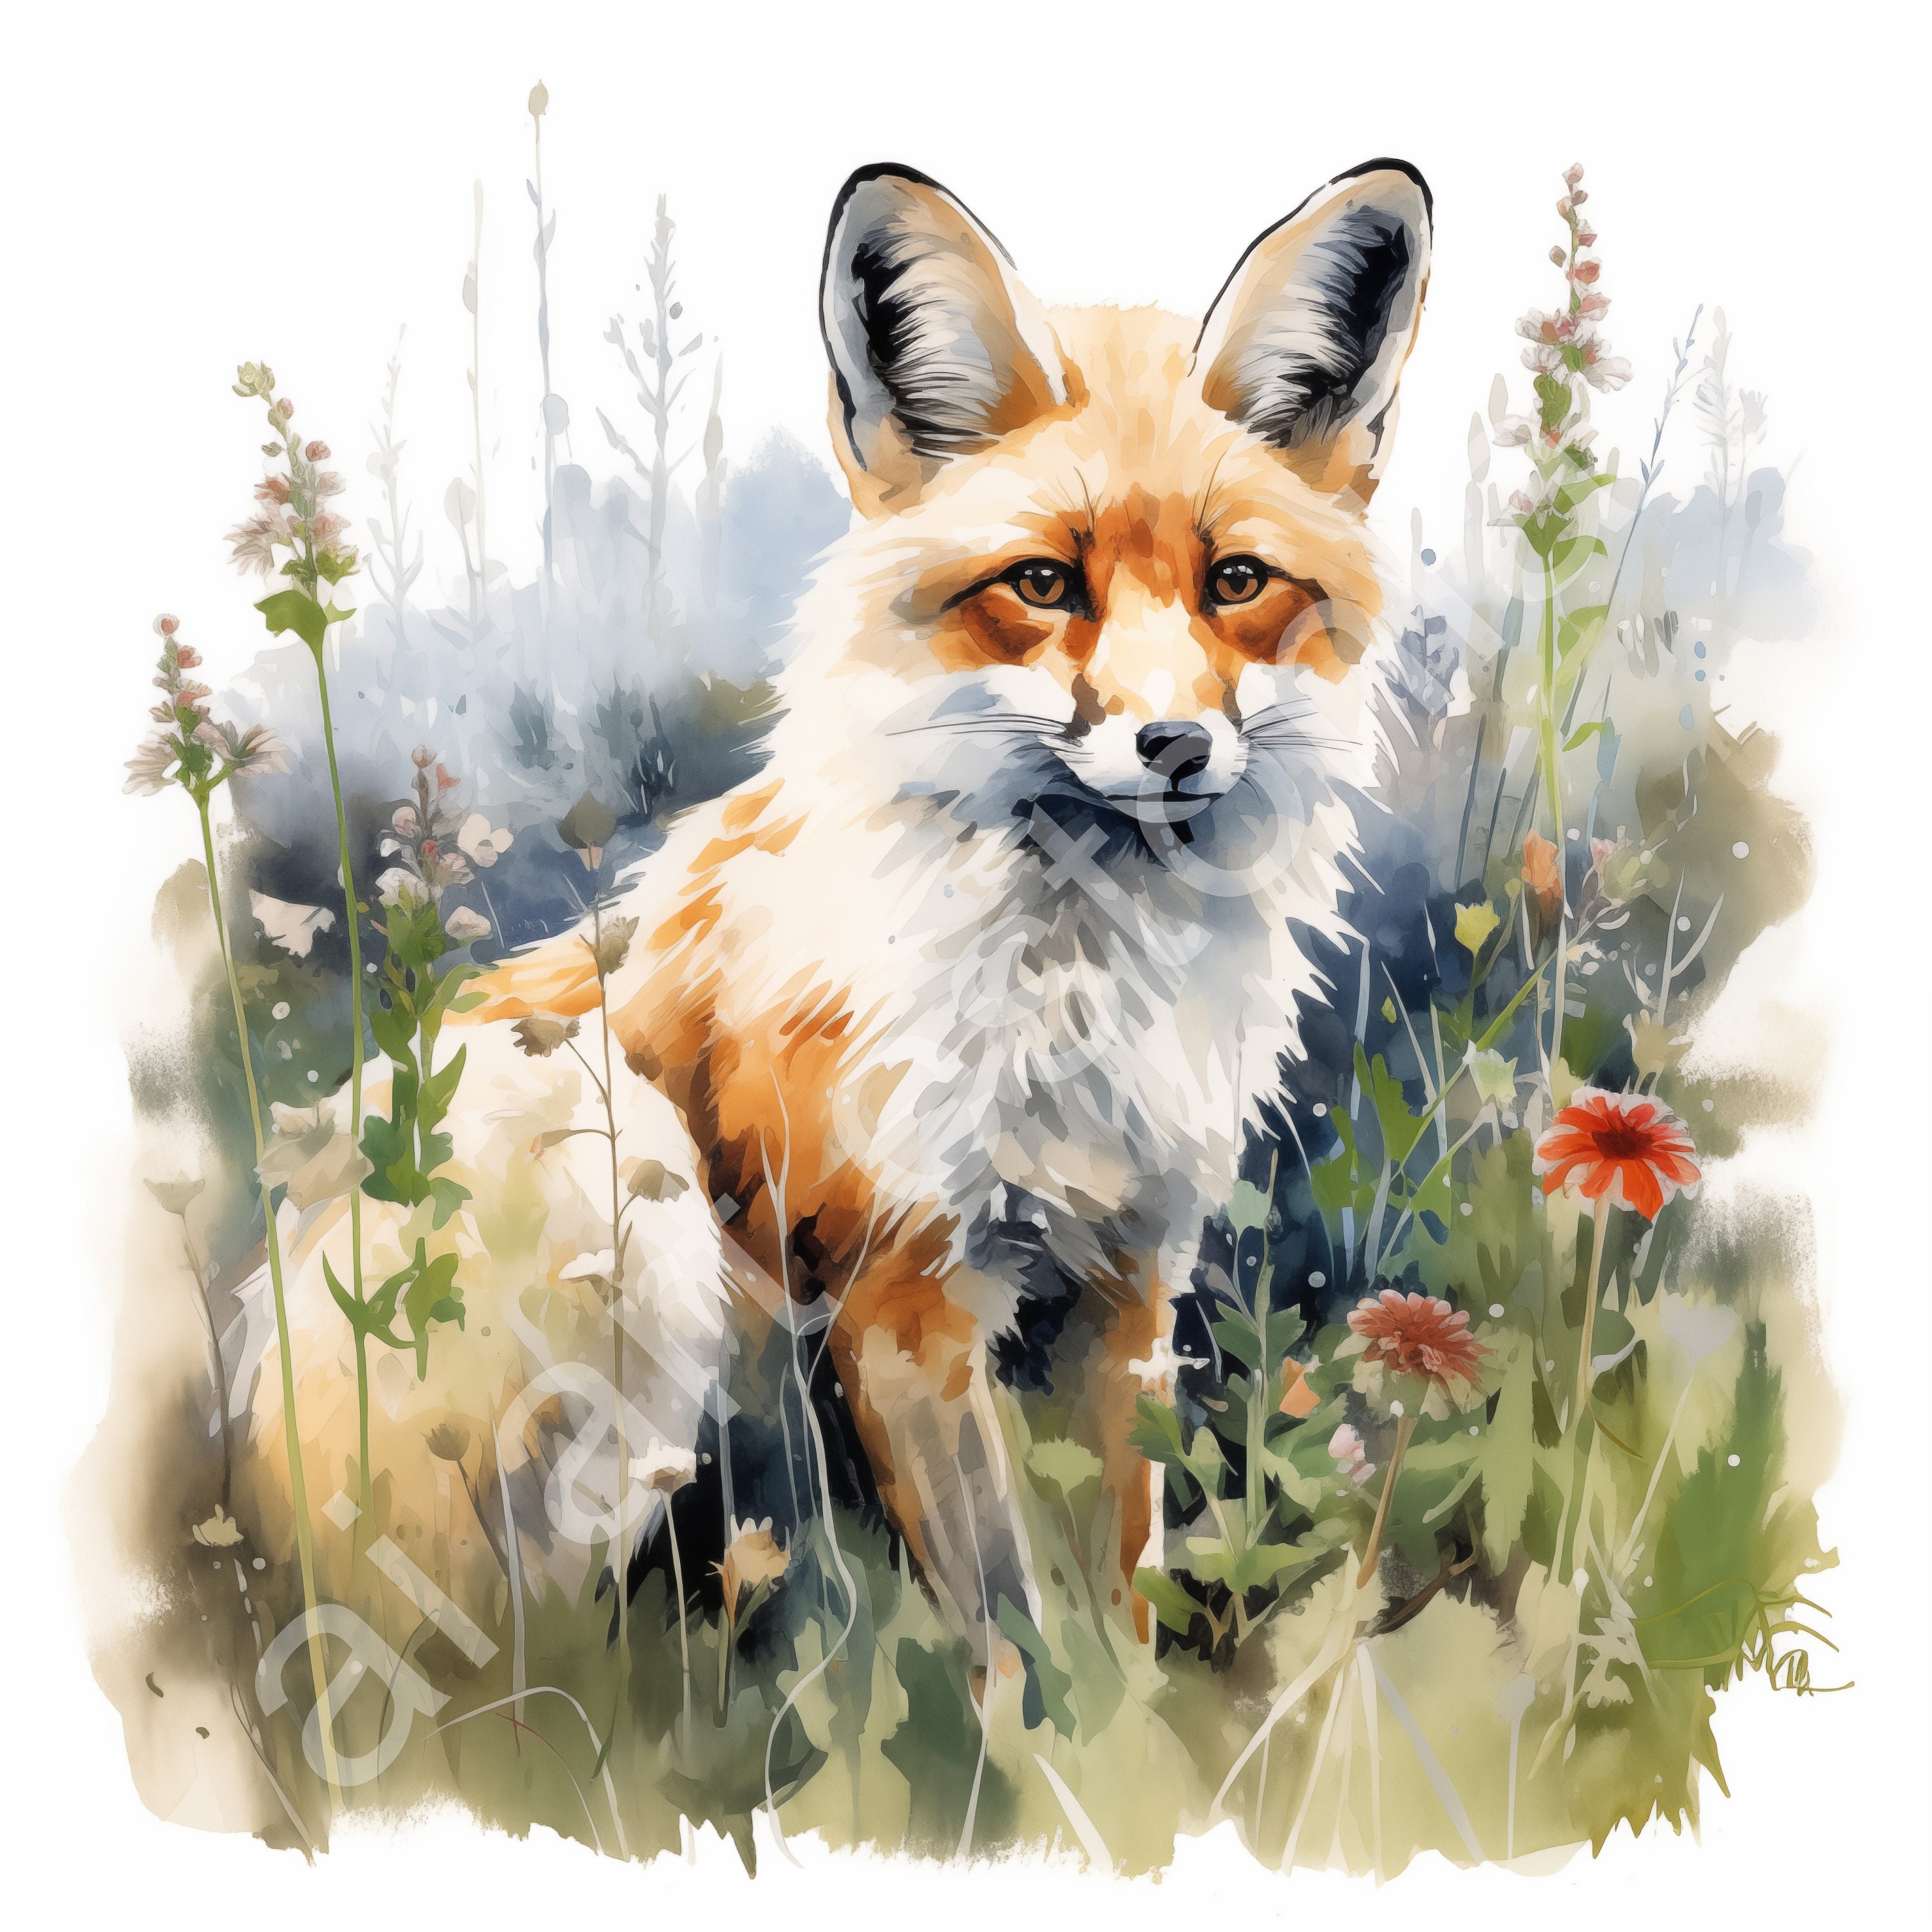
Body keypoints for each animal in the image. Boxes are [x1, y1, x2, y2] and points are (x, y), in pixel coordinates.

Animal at [242, 157, 1432, 1665]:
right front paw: (1035, 1730)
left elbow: (1120, 1598)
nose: (1175, 747)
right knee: (500, 1666)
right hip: (605, 1174)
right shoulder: (899, 1289)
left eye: (1236, 583)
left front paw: (1139, 1726)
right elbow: (1008, 1632)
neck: (1080, 984)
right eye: (1043, 584)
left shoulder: (1128, 1278)